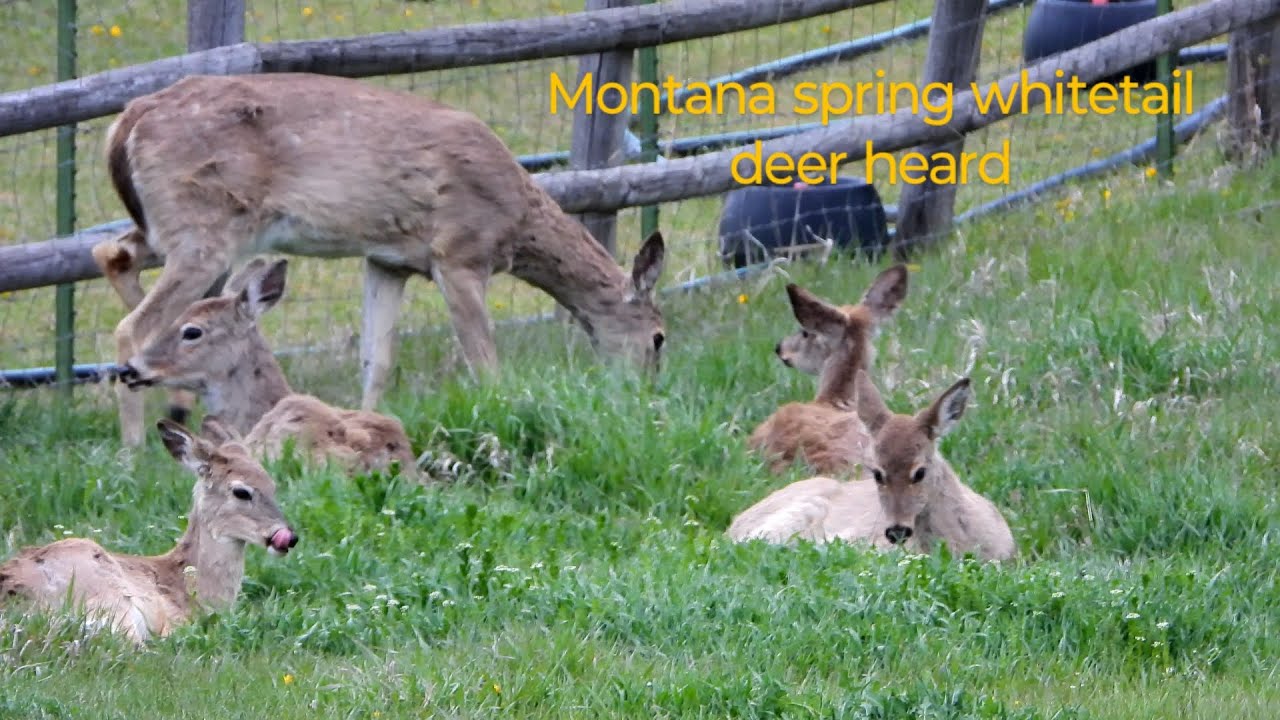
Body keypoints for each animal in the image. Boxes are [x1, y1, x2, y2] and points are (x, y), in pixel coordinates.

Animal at [0, 419, 300, 646]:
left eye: (273, 485)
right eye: (241, 491)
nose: (289, 537)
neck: (191, 588)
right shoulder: (173, 618)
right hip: (107, 596)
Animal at [93, 72, 668, 448]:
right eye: (660, 337)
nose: (645, 390)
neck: (518, 218)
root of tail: (126, 122)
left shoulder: (388, 260)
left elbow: (377, 359)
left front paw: (361, 424)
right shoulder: (458, 253)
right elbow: (484, 358)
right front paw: (502, 411)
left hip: (171, 226)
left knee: (111, 252)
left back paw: (176, 399)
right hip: (203, 229)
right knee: (130, 325)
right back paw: (133, 448)